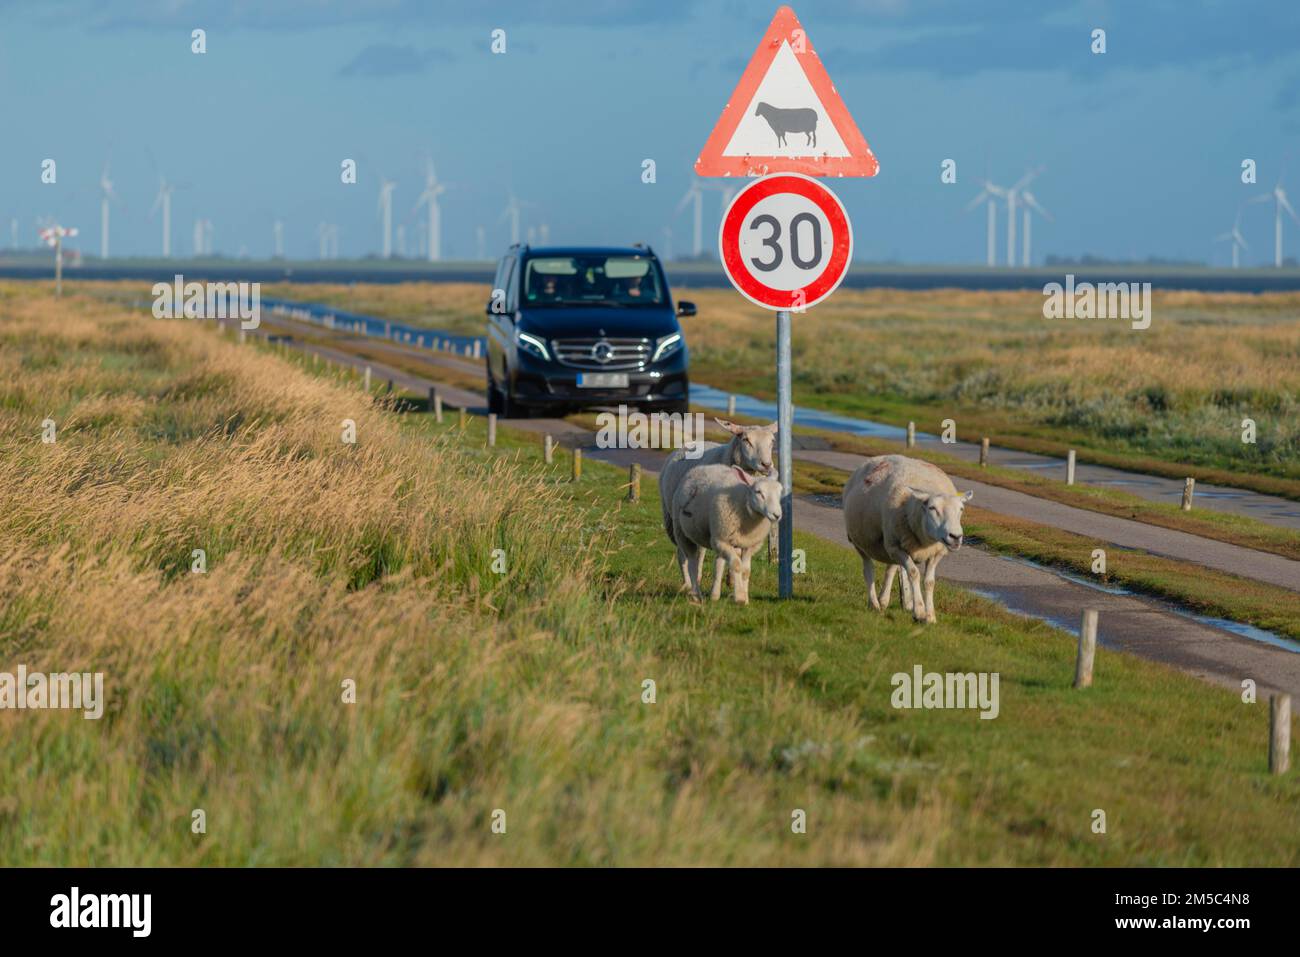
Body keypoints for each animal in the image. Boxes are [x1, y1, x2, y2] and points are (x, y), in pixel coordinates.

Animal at [659, 418, 777, 590]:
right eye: (746, 440)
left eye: (772, 441)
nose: (767, 464)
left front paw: (732, 580)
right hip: (675, 518)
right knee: (685, 553)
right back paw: (688, 583)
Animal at [671, 464, 783, 604]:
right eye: (758, 492)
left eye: (780, 492)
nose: (777, 515)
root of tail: (699, 467)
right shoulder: (721, 540)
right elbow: (736, 565)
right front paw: (740, 597)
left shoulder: (748, 545)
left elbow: (746, 571)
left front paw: (745, 598)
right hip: (684, 533)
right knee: (692, 563)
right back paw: (697, 595)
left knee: (718, 563)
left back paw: (714, 595)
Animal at [842, 455, 972, 624]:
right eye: (932, 508)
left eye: (961, 509)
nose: (956, 536)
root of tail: (875, 458)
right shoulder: (896, 547)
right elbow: (914, 573)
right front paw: (919, 611)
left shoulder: (936, 552)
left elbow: (929, 582)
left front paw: (930, 616)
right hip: (861, 541)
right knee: (869, 570)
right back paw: (874, 604)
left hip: (889, 545)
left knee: (890, 568)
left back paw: (883, 600)